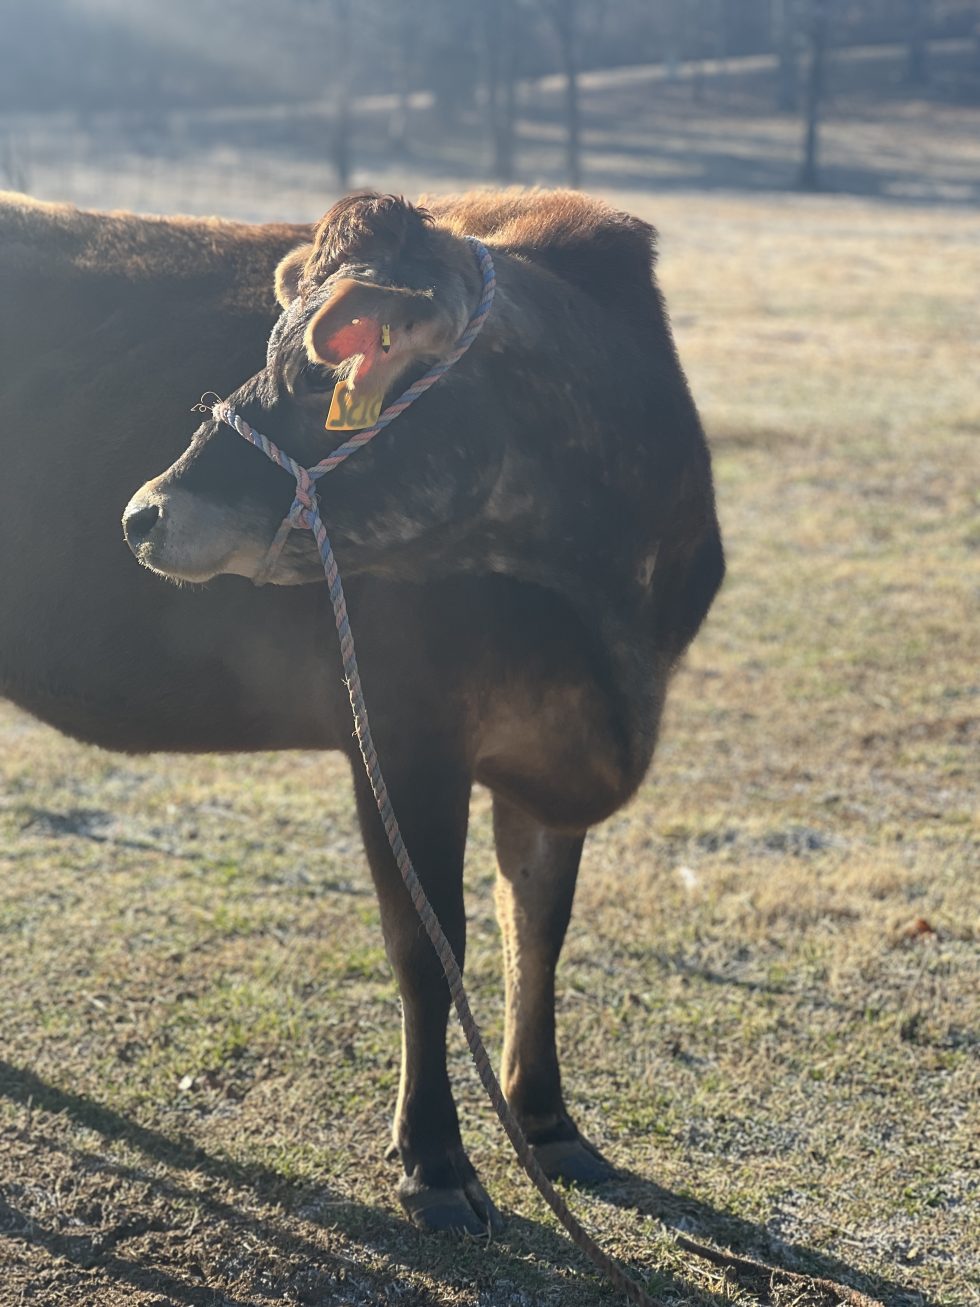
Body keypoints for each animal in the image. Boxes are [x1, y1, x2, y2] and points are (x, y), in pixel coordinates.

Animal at [123, 189, 725, 1234]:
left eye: (330, 367)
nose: (142, 513)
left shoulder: (541, 768)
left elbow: (538, 928)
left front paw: (548, 1123)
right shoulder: (401, 737)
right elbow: (428, 943)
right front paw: (436, 1161)